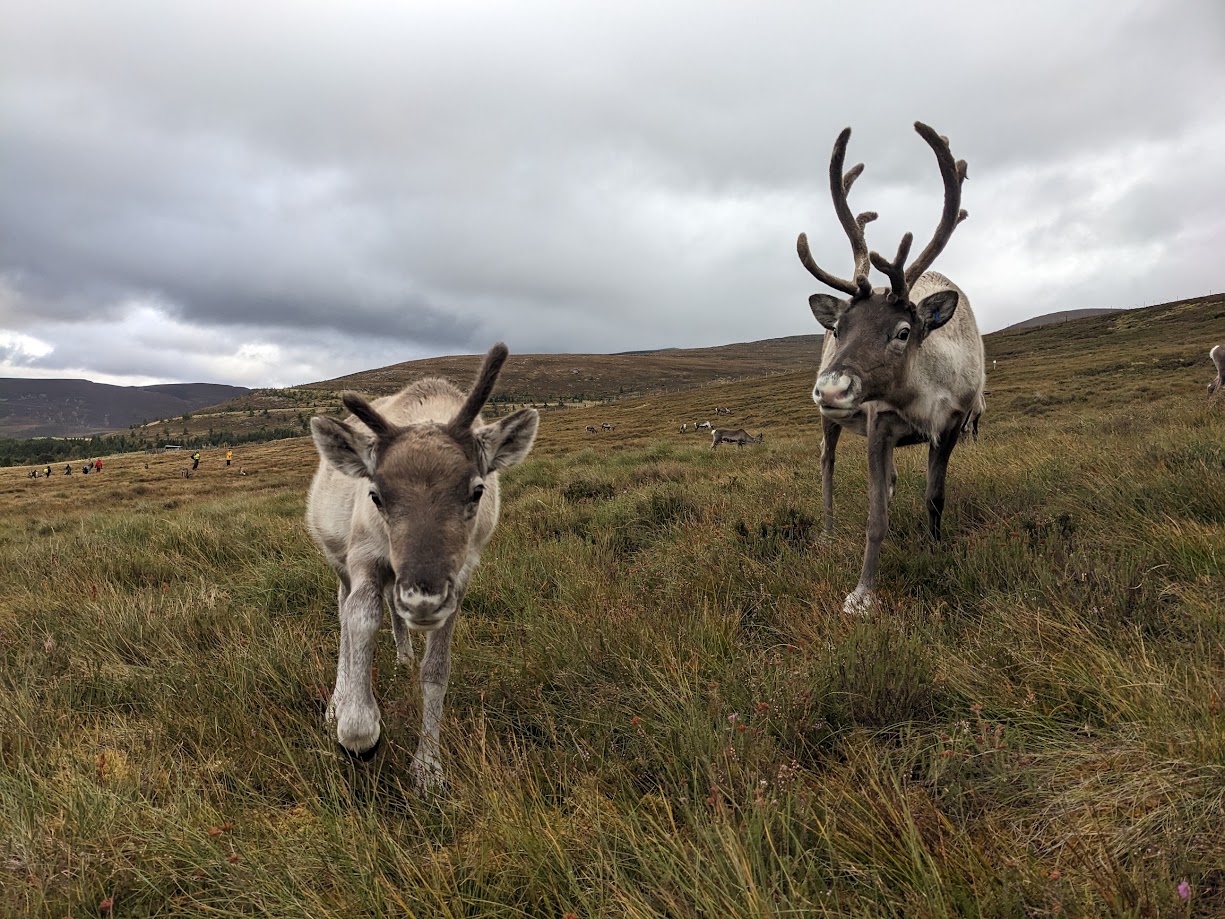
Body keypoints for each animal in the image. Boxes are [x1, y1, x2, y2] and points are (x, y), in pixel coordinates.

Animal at [306, 343, 539, 793]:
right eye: (376, 494)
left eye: (477, 490)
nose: (422, 600)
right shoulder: (364, 555)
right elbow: (361, 619)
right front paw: (357, 730)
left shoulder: (460, 576)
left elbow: (436, 670)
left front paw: (428, 769)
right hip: (339, 560)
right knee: (345, 613)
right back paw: (337, 702)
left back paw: (403, 656)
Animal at [797, 122, 985, 615]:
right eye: (840, 328)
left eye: (903, 331)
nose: (831, 388)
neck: (922, 396)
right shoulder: (877, 424)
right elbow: (875, 518)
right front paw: (862, 593)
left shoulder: (953, 425)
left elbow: (934, 498)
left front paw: (935, 550)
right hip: (831, 424)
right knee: (826, 462)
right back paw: (827, 530)